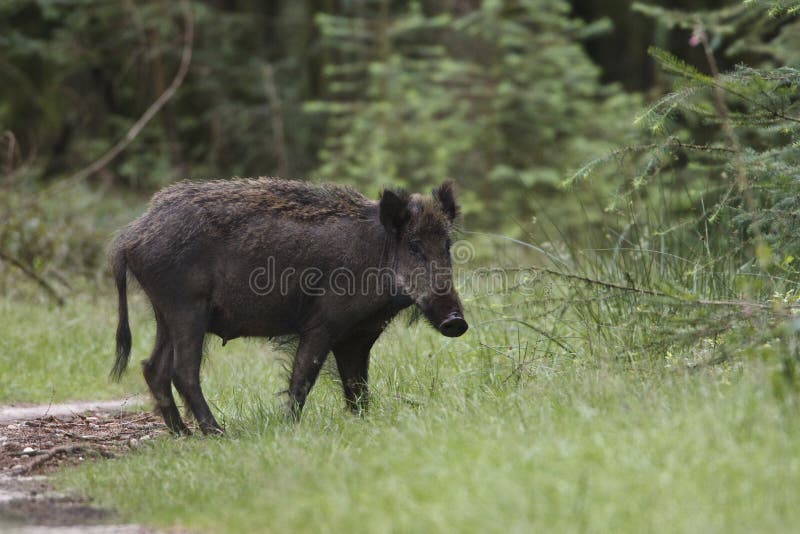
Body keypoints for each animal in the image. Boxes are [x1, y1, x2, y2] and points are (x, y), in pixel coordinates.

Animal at [111, 178, 468, 435]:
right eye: (414, 246)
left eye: (447, 245)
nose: (456, 321)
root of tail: (130, 236)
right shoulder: (323, 324)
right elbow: (303, 378)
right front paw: (289, 428)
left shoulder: (358, 335)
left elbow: (357, 385)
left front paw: (362, 423)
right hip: (186, 308)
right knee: (182, 371)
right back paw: (218, 433)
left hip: (165, 313)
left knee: (153, 368)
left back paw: (183, 434)